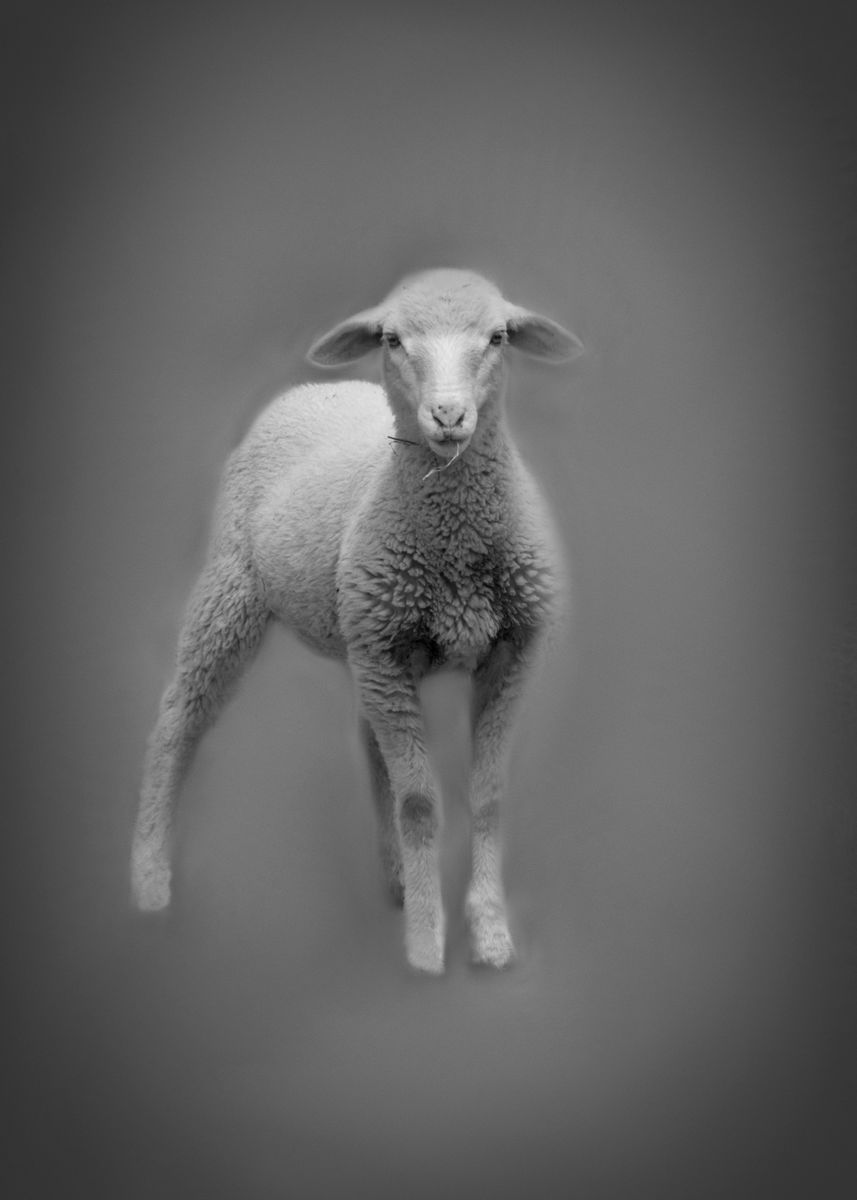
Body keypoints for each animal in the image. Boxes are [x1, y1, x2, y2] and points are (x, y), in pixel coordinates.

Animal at [131, 268, 583, 974]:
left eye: (498, 337)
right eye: (393, 339)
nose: (448, 417)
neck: (457, 540)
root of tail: (318, 387)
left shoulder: (511, 655)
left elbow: (486, 797)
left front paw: (489, 935)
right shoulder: (390, 655)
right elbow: (422, 804)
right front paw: (426, 948)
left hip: (362, 638)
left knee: (372, 749)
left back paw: (397, 878)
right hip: (233, 589)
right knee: (179, 716)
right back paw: (149, 877)